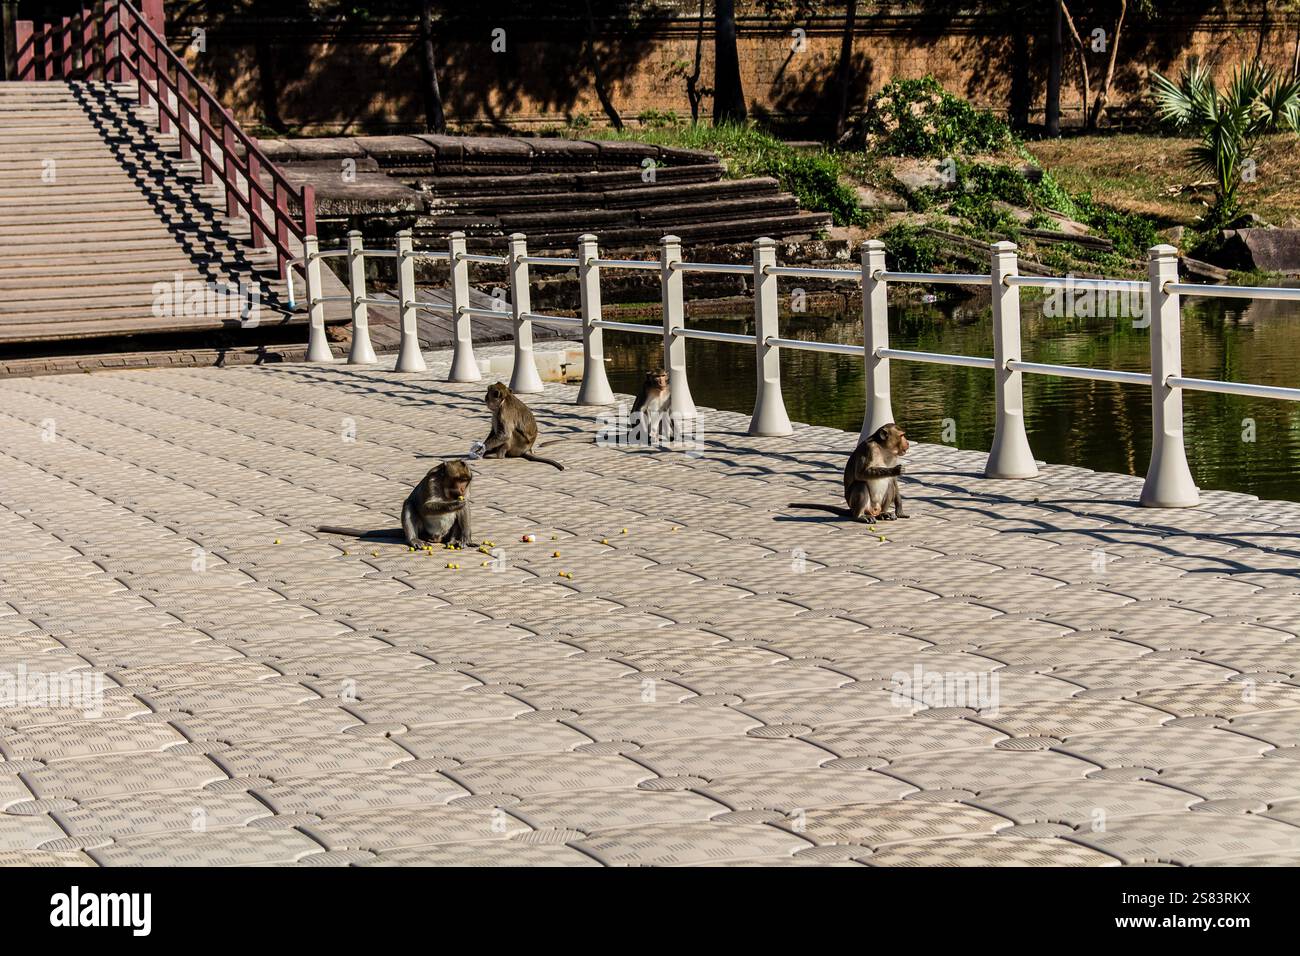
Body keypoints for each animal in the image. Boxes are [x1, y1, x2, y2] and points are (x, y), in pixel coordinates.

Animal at [318, 460, 474, 548]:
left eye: (465, 481)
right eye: (458, 480)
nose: (462, 489)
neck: (444, 488)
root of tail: (437, 538)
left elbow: (465, 507)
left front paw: (466, 537)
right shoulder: (431, 482)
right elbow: (424, 507)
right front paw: (454, 504)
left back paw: (453, 540)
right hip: (423, 532)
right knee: (409, 505)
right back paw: (413, 540)